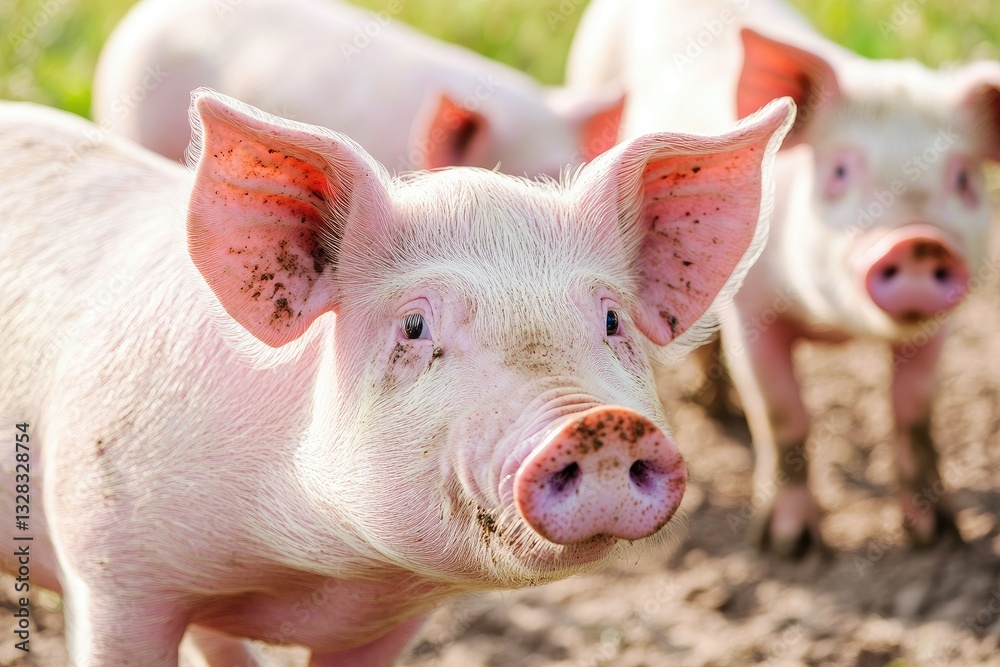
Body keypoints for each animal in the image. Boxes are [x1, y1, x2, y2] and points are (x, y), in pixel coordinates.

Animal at [0, 88, 793, 664]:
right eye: (414, 327)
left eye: (611, 320)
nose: (600, 423)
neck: (312, 566)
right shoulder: (108, 569)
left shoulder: (388, 622)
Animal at [568, 0, 1000, 556]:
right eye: (839, 171)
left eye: (965, 178)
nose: (920, 240)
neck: (836, 326)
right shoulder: (752, 309)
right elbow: (783, 414)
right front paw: (787, 548)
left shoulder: (935, 330)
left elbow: (913, 411)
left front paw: (938, 538)